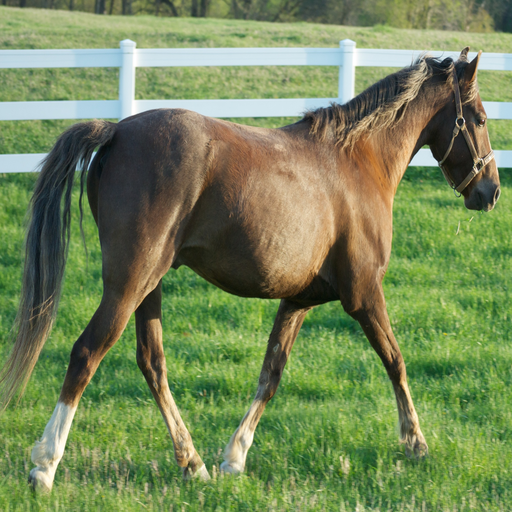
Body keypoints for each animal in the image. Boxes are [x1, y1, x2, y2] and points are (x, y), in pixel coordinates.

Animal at [0, 48, 498, 492]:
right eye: (479, 118)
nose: (490, 191)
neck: (357, 162)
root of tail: (117, 131)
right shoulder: (364, 293)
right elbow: (395, 360)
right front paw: (416, 442)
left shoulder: (298, 299)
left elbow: (270, 374)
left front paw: (234, 458)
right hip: (129, 282)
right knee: (87, 352)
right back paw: (45, 466)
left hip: (149, 285)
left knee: (152, 363)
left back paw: (193, 464)